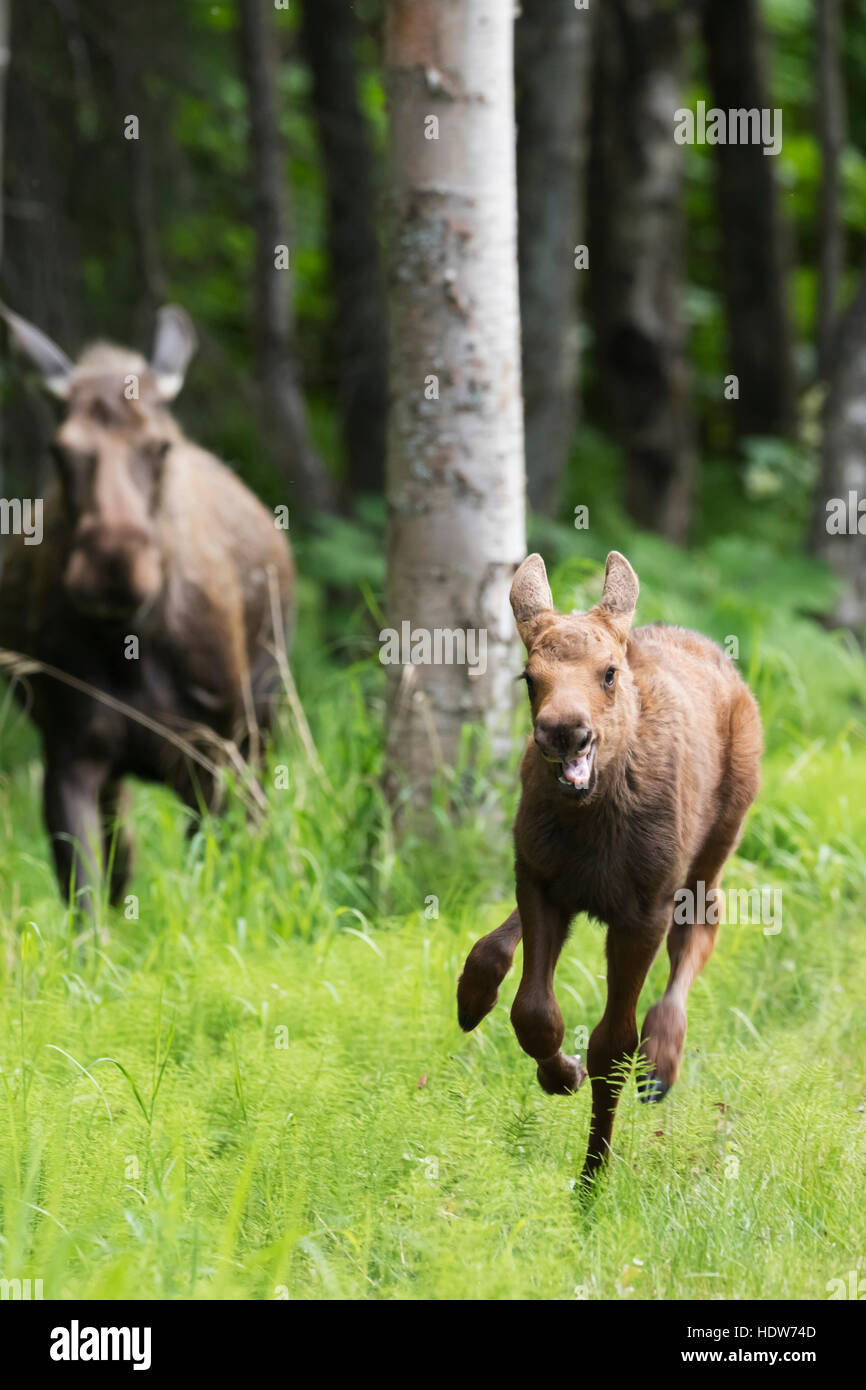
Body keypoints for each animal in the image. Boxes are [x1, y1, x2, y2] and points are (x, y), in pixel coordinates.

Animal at [0, 303, 295, 917]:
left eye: (160, 448)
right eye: (60, 451)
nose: (113, 568)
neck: (127, 651)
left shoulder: (207, 750)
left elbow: (208, 869)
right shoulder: (67, 751)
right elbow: (85, 890)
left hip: (262, 716)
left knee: (256, 815)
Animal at [457, 551, 762, 1183]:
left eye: (609, 673)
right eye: (530, 677)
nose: (563, 730)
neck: (594, 818)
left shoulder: (643, 909)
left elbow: (612, 1043)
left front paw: (592, 1179)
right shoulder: (539, 879)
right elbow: (534, 1012)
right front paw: (560, 1074)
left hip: (715, 845)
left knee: (703, 924)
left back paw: (662, 1061)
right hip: (547, 869)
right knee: (503, 944)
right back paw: (473, 995)